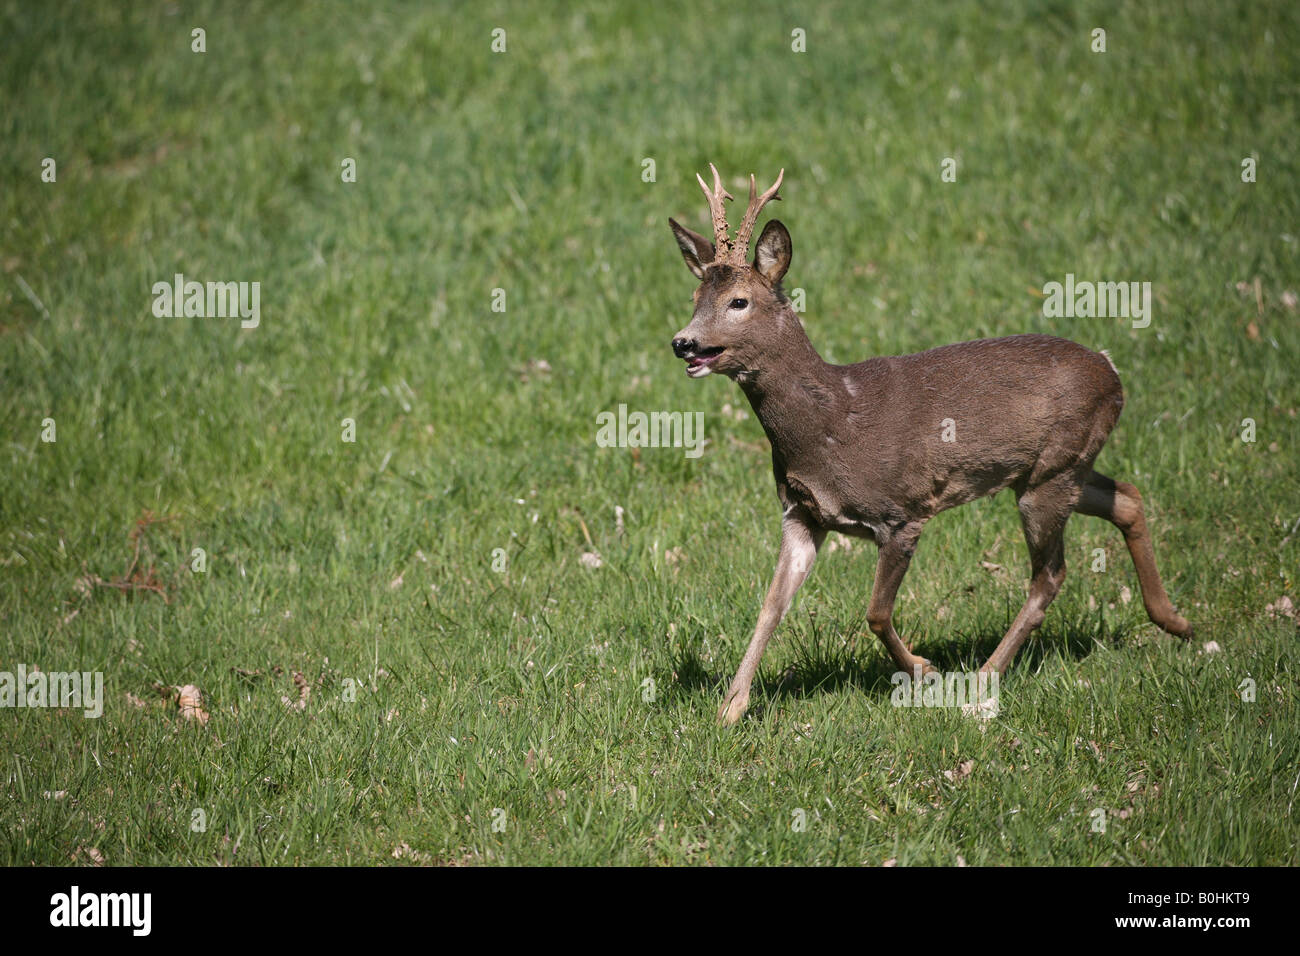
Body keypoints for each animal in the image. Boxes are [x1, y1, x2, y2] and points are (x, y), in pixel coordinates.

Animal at [667, 164, 1194, 725]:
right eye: (695, 300)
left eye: (738, 301)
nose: (683, 342)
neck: (830, 425)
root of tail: (1112, 372)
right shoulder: (802, 512)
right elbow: (771, 604)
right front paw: (731, 707)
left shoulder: (902, 511)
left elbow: (876, 612)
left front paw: (925, 669)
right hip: (1058, 467)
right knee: (1127, 498)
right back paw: (1176, 622)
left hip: (1051, 476)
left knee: (1050, 575)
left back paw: (983, 680)